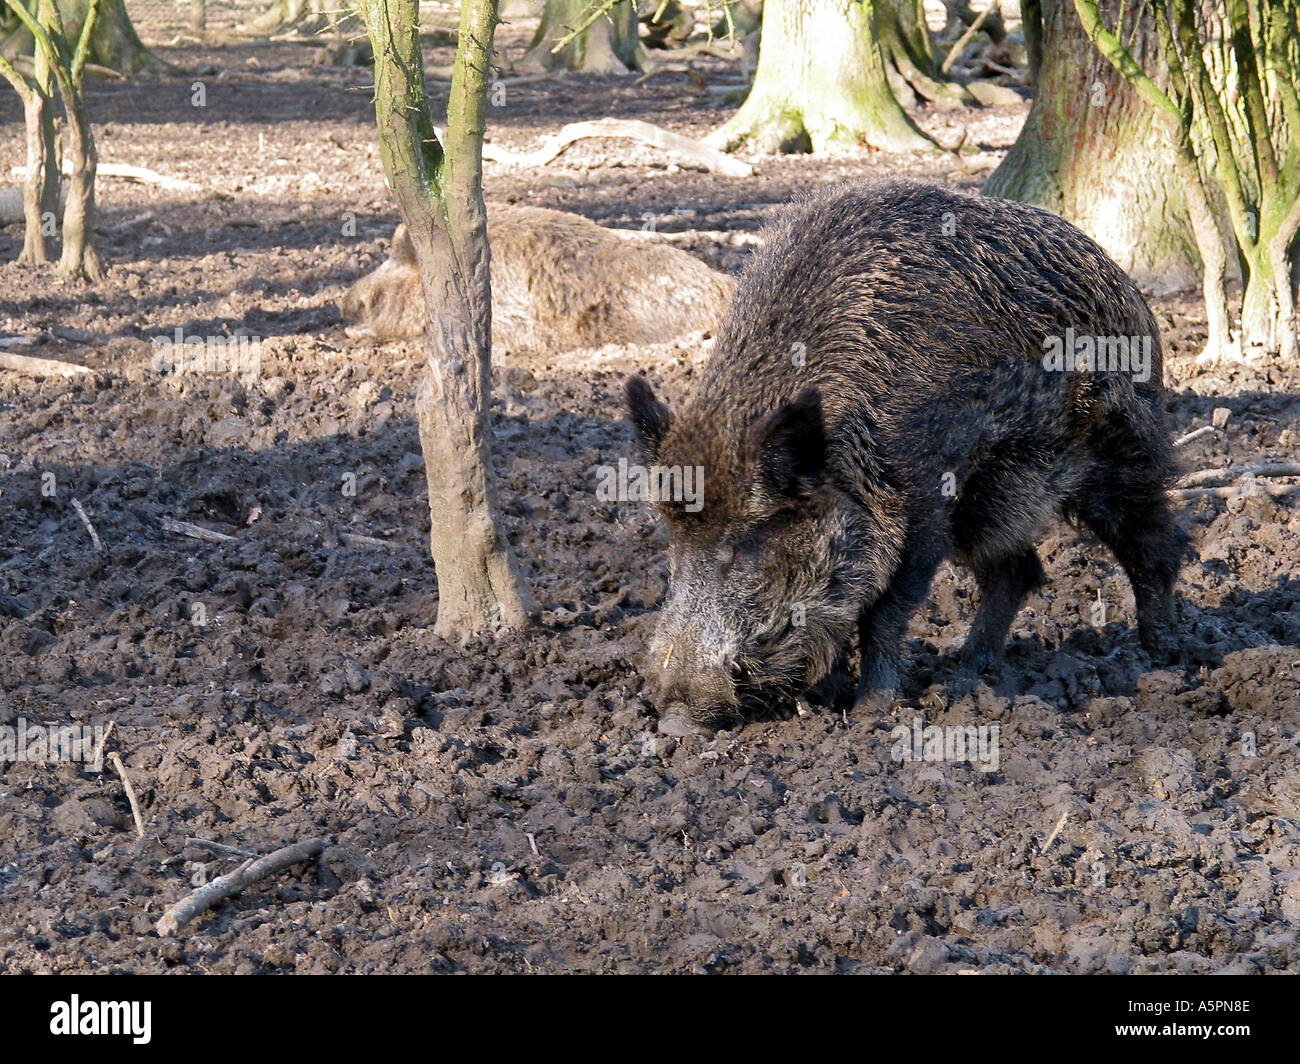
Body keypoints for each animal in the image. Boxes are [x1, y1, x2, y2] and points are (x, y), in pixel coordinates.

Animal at [626, 178, 1190, 734]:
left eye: (745, 544)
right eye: (673, 543)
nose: (675, 720)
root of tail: (1126, 286)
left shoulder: (921, 505)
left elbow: (885, 614)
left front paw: (871, 713)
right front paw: (829, 701)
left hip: (1117, 447)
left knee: (1153, 541)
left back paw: (1159, 658)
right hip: (991, 501)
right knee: (1018, 571)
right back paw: (968, 673)